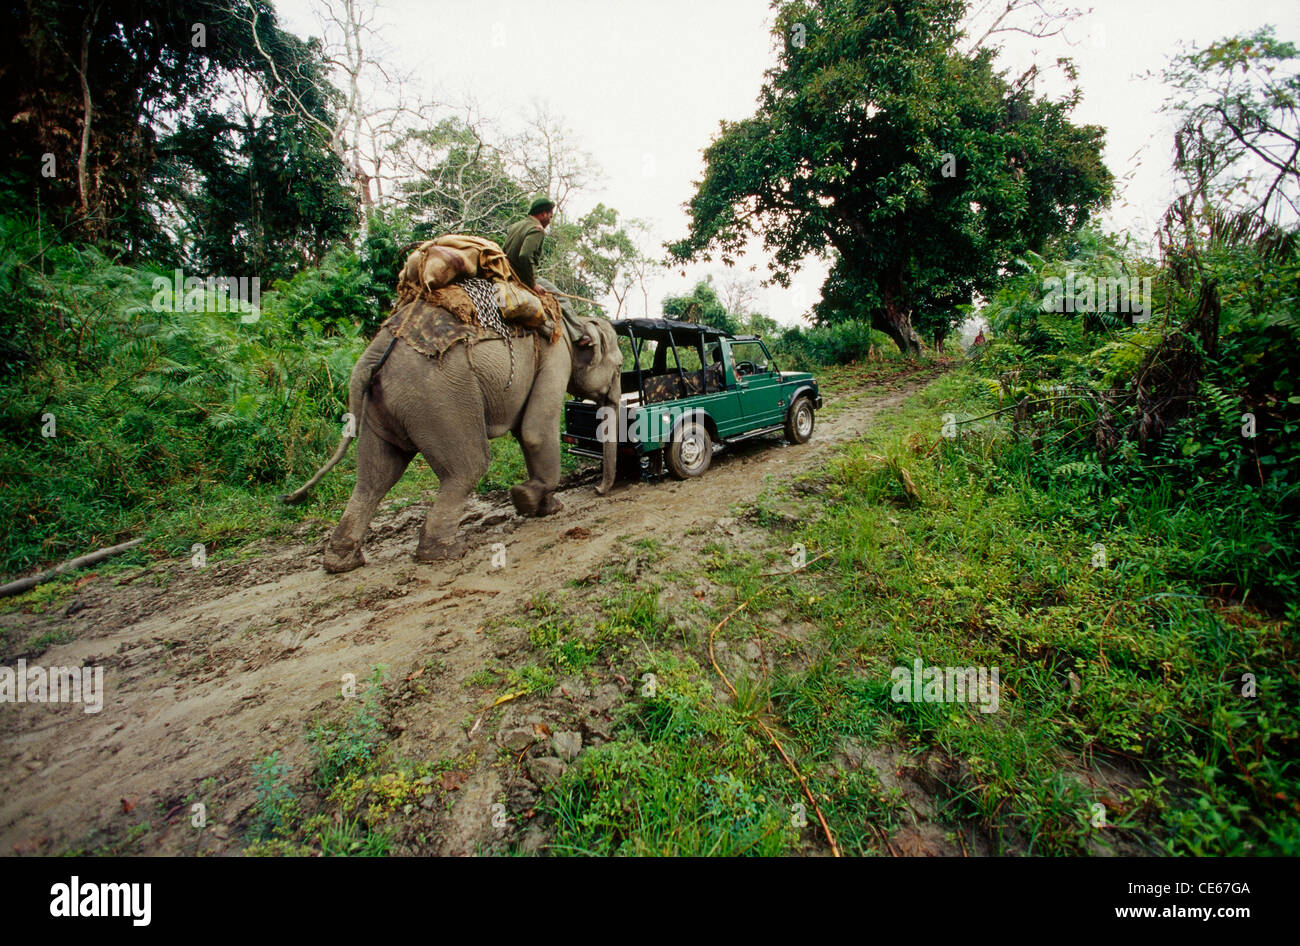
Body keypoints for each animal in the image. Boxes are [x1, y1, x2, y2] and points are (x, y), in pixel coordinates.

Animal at [282, 302, 623, 573]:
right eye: (620, 366)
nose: (598, 491)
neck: (574, 321)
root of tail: (372, 355)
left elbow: (525, 432)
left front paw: (545, 507)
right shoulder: (555, 357)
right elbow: (535, 431)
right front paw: (527, 500)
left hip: (382, 406)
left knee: (375, 477)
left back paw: (341, 562)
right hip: (439, 398)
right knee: (468, 467)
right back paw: (444, 552)